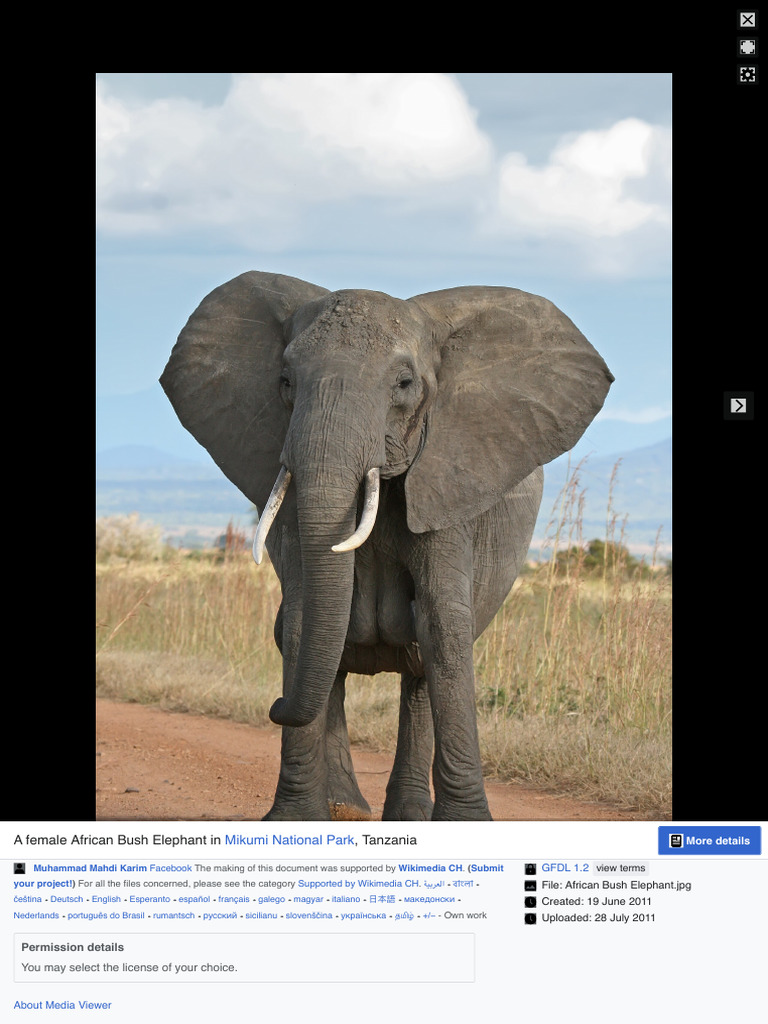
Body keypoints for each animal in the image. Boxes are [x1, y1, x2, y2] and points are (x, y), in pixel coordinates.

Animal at [160, 271, 613, 821]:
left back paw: (406, 814)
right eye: (285, 382)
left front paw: (467, 823)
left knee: (419, 665)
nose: (274, 708)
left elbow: (443, 627)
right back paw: (344, 809)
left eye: (404, 384)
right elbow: (303, 621)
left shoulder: (448, 480)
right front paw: (292, 820)